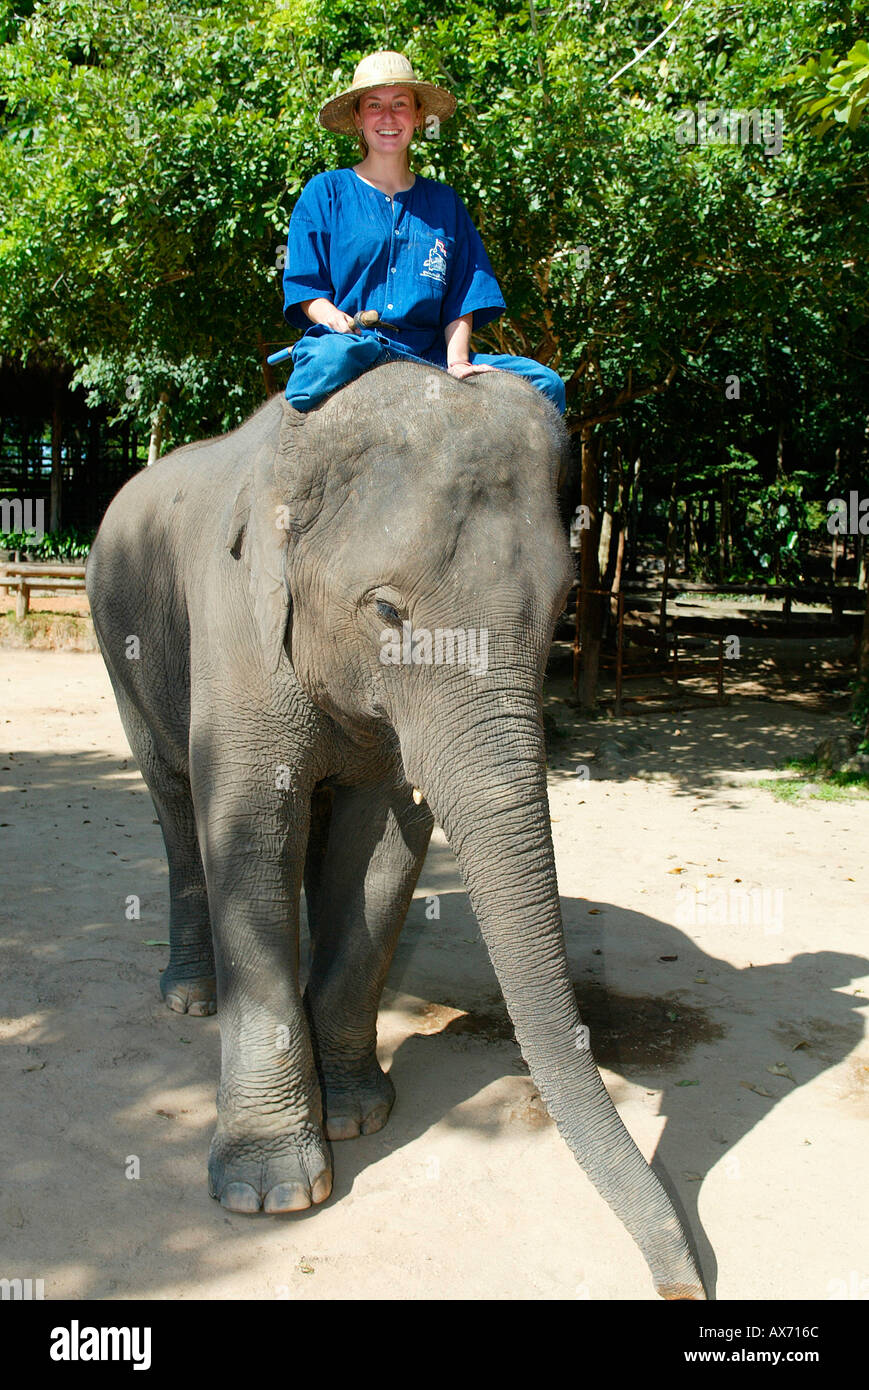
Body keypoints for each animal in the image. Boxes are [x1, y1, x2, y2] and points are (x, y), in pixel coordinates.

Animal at [86, 360, 706, 1299]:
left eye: (563, 605)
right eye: (384, 610)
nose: (686, 1282)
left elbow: (380, 849)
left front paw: (359, 1117)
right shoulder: (236, 635)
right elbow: (247, 833)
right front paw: (273, 1196)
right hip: (120, 637)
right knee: (174, 804)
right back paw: (190, 996)